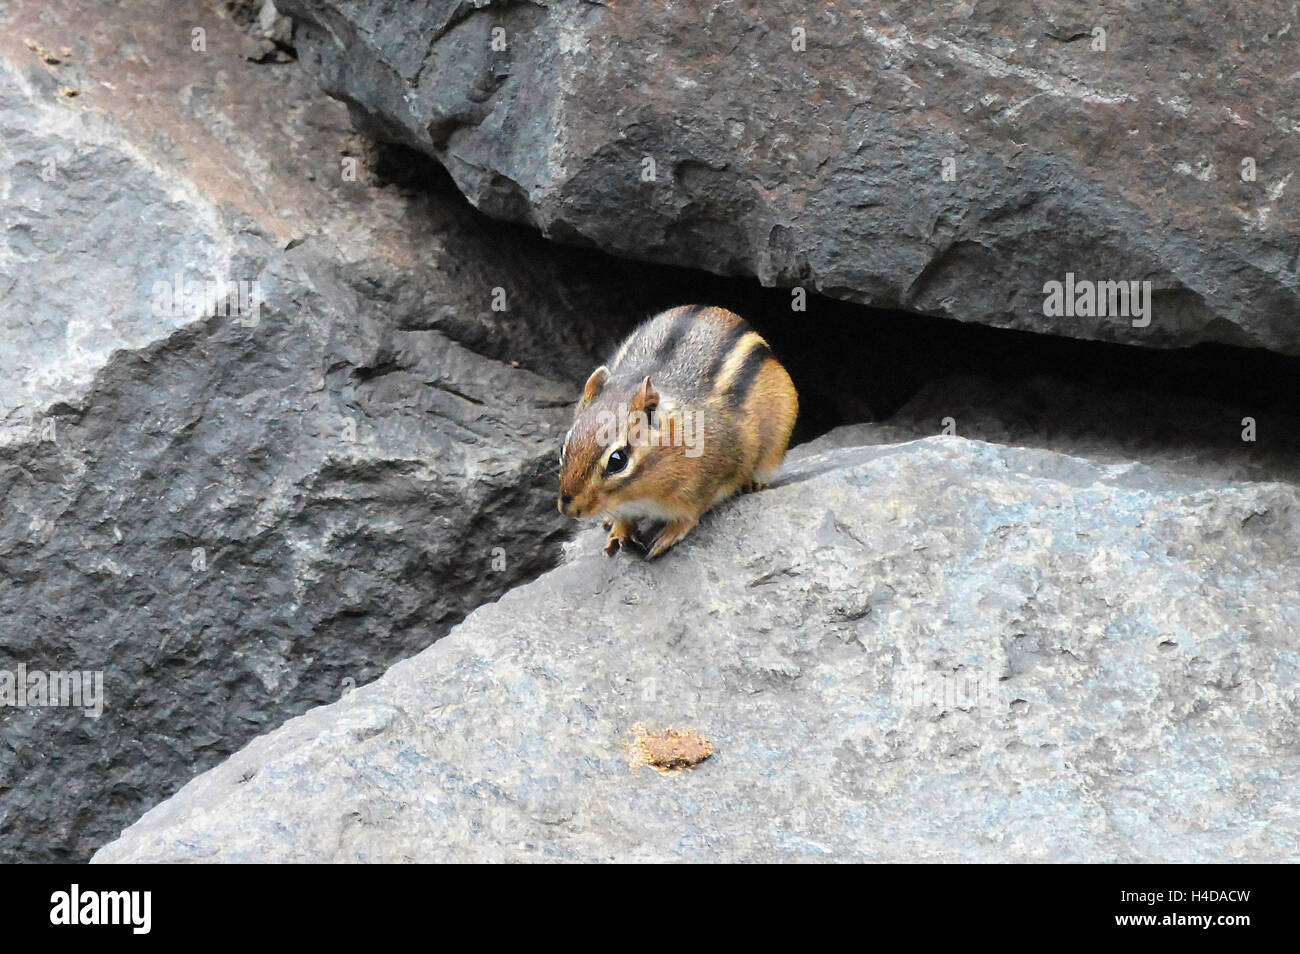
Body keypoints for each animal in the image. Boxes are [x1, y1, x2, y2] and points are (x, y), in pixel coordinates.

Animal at [558, 304, 798, 559]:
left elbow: (691, 514)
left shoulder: (710, 480)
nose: (567, 508)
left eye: (617, 460)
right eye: (563, 448)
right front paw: (619, 530)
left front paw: (668, 535)